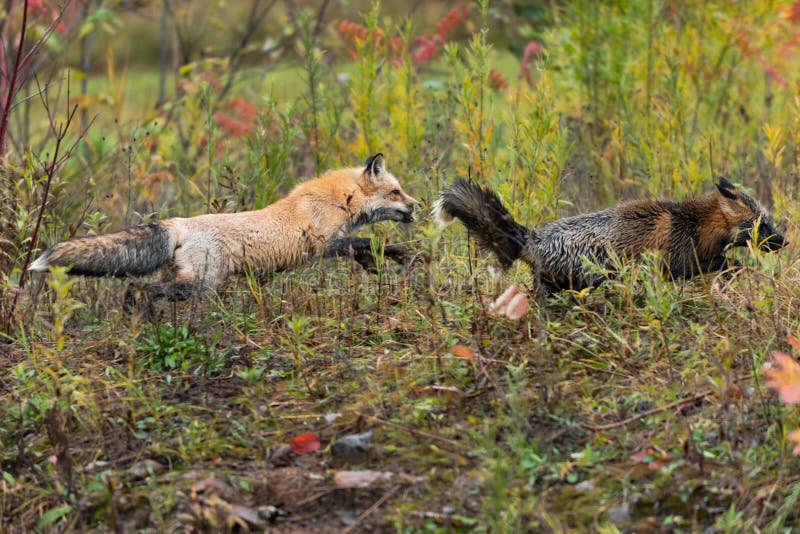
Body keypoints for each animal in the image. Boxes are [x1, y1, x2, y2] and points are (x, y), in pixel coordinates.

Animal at [29, 153, 419, 307]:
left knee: (139, 288)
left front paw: (381, 263)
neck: (339, 199)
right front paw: (400, 256)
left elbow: (365, 247)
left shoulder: (332, 244)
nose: (417, 205)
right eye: (396, 192)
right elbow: (367, 242)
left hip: (187, 279)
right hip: (200, 283)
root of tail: (178, 223)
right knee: (142, 289)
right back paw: (139, 313)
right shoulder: (322, 245)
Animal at [433, 177, 787, 291]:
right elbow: (725, 263)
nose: (785, 241)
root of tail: (534, 237)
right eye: (763, 226)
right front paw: (738, 270)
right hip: (596, 270)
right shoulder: (679, 261)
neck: (694, 225)